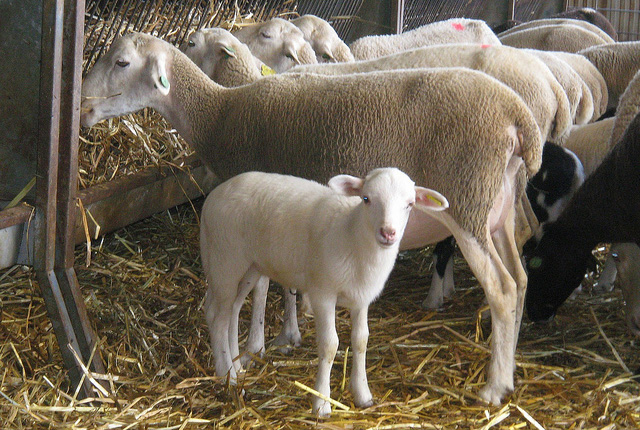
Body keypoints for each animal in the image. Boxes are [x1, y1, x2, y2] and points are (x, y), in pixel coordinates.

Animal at [201, 168, 448, 416]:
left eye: (410, 204)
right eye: (366, 199)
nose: (388, 233)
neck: (352, 235)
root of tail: (215, 194)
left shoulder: (361, 299)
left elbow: (361, 340)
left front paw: (362, 394)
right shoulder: (323, 295)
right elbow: (330, 345)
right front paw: (321, 404)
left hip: (249, 267)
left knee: (232, 311)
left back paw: (237, 366)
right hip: (225, 260)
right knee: (217, 318)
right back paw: (228, 375)